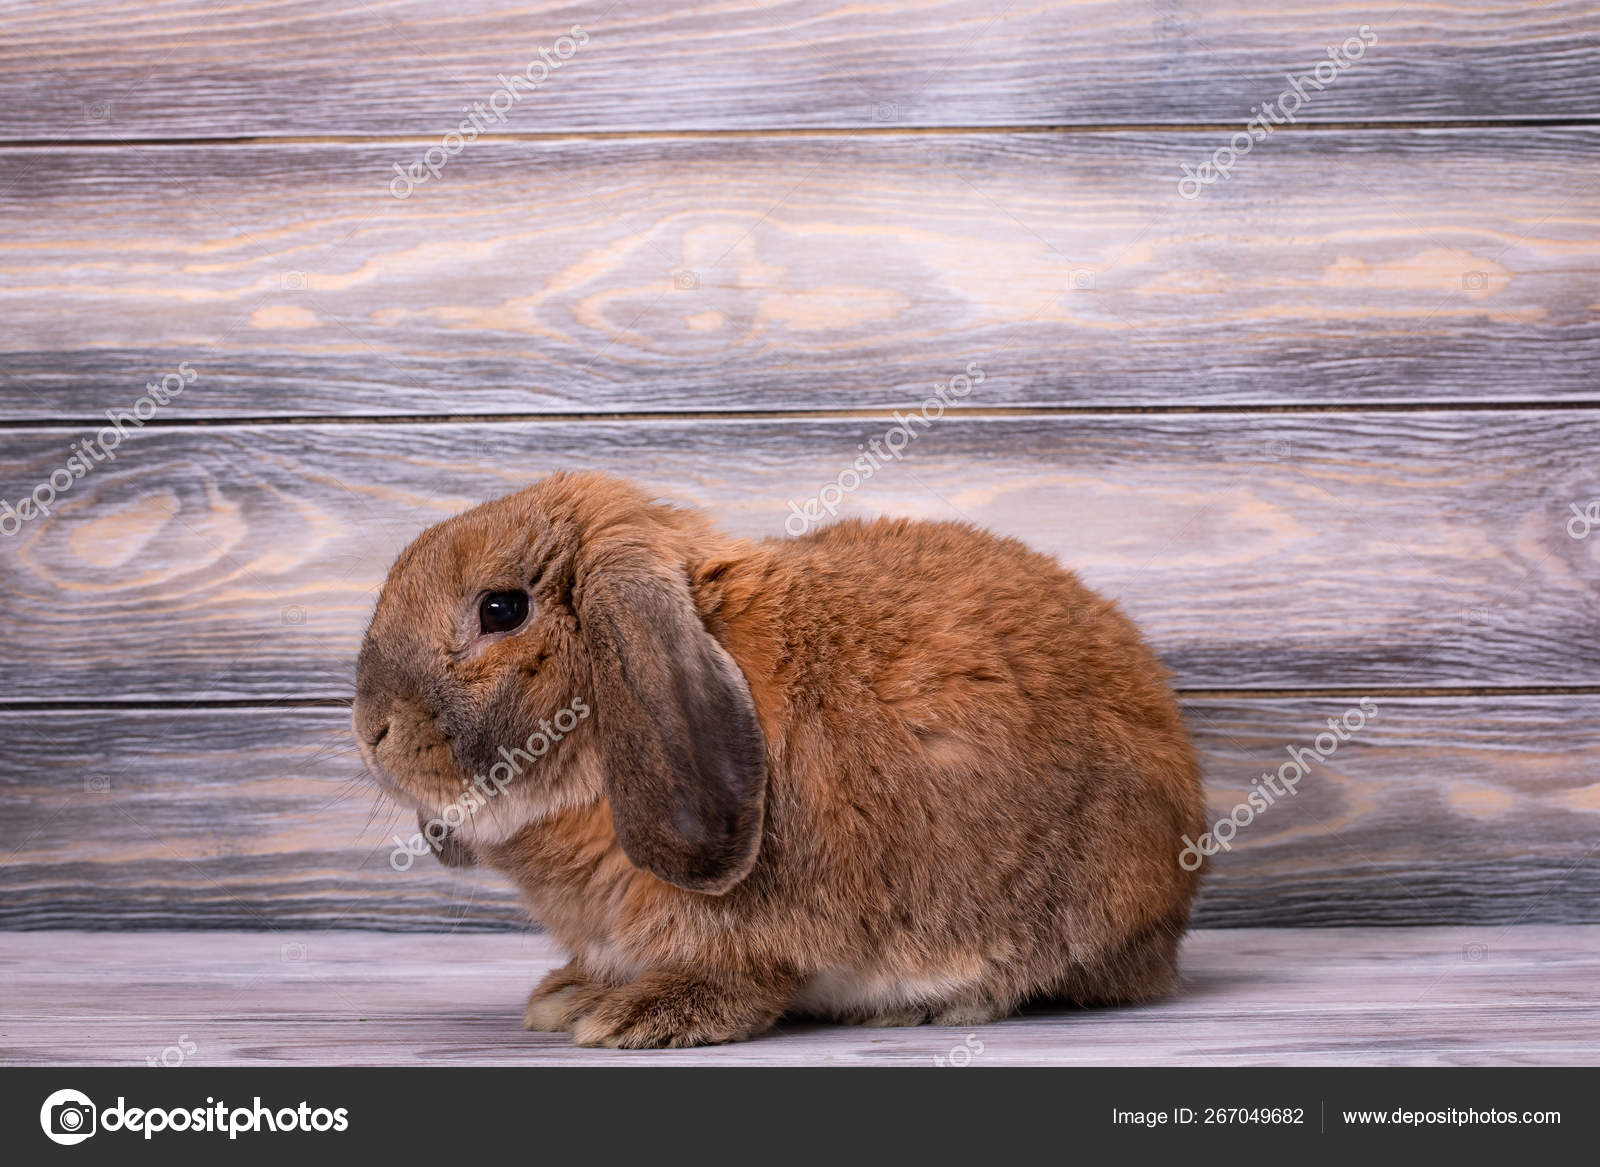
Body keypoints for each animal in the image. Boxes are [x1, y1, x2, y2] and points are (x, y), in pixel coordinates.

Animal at [354, 471, 1205, 1048]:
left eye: (501, 609)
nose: (370, 728)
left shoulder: (757, 934)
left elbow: (741, 975)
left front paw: (637, 1015)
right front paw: (567, 994)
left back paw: (932, 1002)